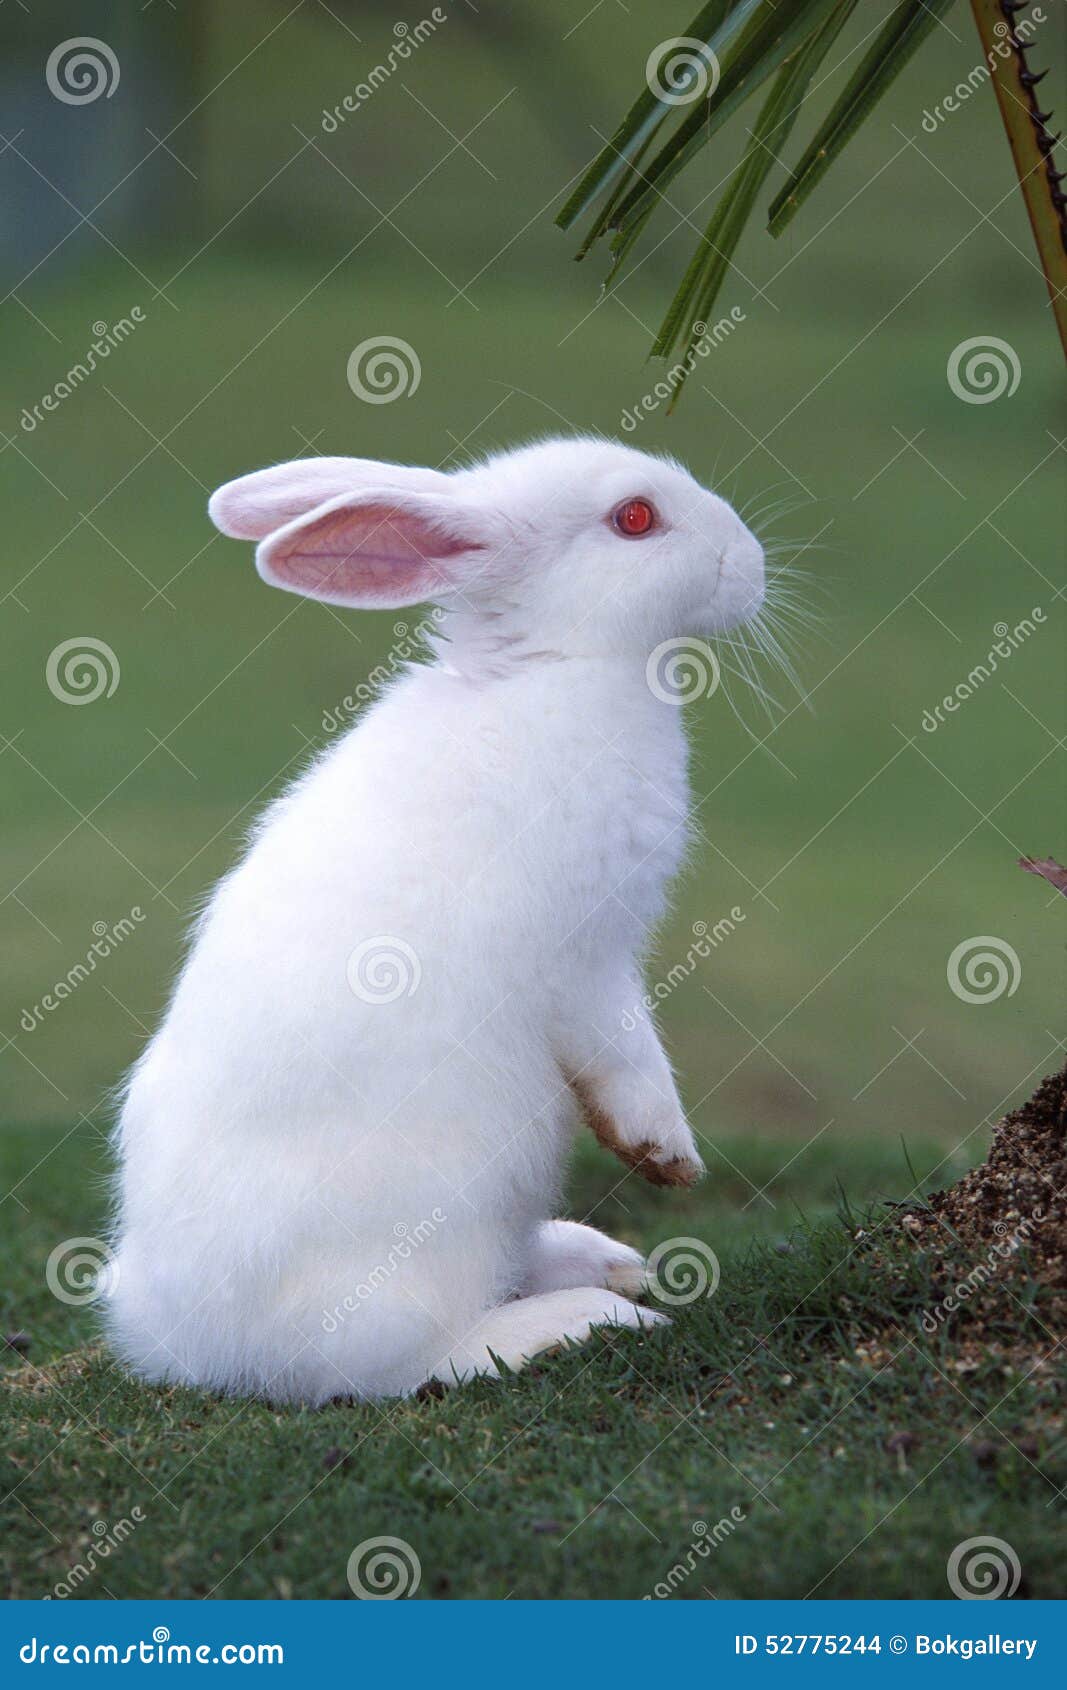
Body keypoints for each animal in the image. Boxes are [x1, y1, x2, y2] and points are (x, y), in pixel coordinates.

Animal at [104, 435, 765, 1403]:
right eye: (634, 517)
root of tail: (185, 1343)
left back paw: (597, 1261)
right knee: (410, 1362)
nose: (751, 562)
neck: (550, 667)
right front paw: (666, 1153)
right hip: (435, 1233)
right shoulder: (589, 961)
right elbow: (626, 1055)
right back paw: (585, 1318)